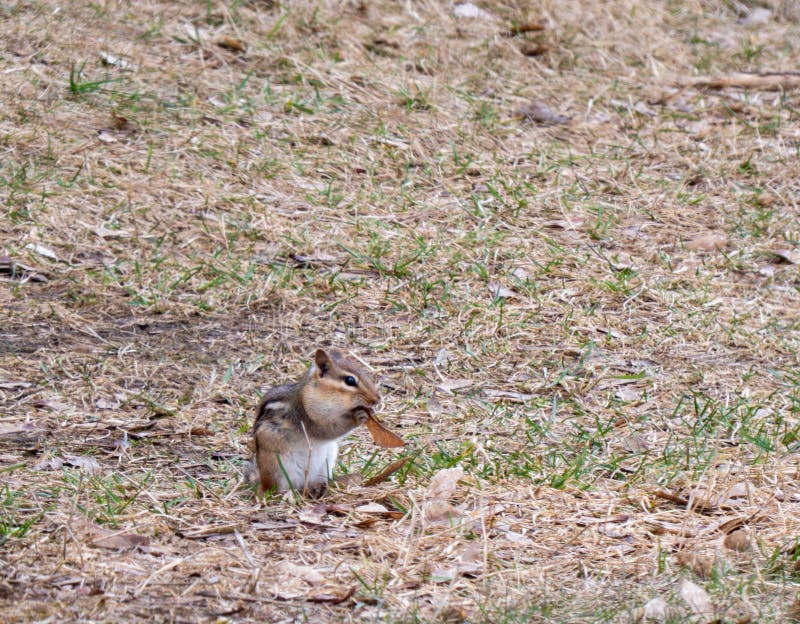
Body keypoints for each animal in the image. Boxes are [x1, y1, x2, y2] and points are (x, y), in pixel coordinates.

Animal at [253, 347, 380, 497]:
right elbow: (329, 430)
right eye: (350, 380)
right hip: (279, 468)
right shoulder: (308, 418)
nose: (377, 399)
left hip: (327, 459)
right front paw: (358, 417)